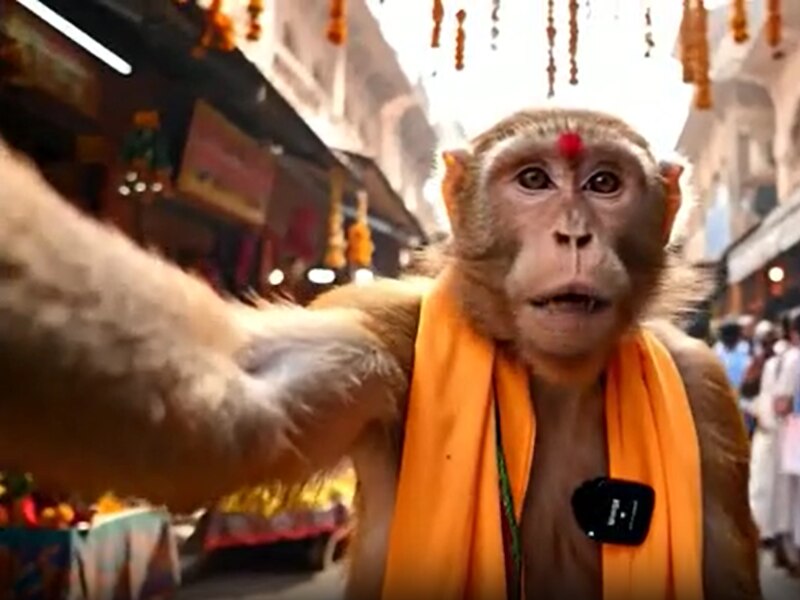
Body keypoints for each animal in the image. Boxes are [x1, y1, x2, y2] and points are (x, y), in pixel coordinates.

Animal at [0, 109, 759, 600]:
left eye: (604, 183)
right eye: (534, 181)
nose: (574, 234)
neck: (552, 377)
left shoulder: (703, 388)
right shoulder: (387, 329)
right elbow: (247, 383)